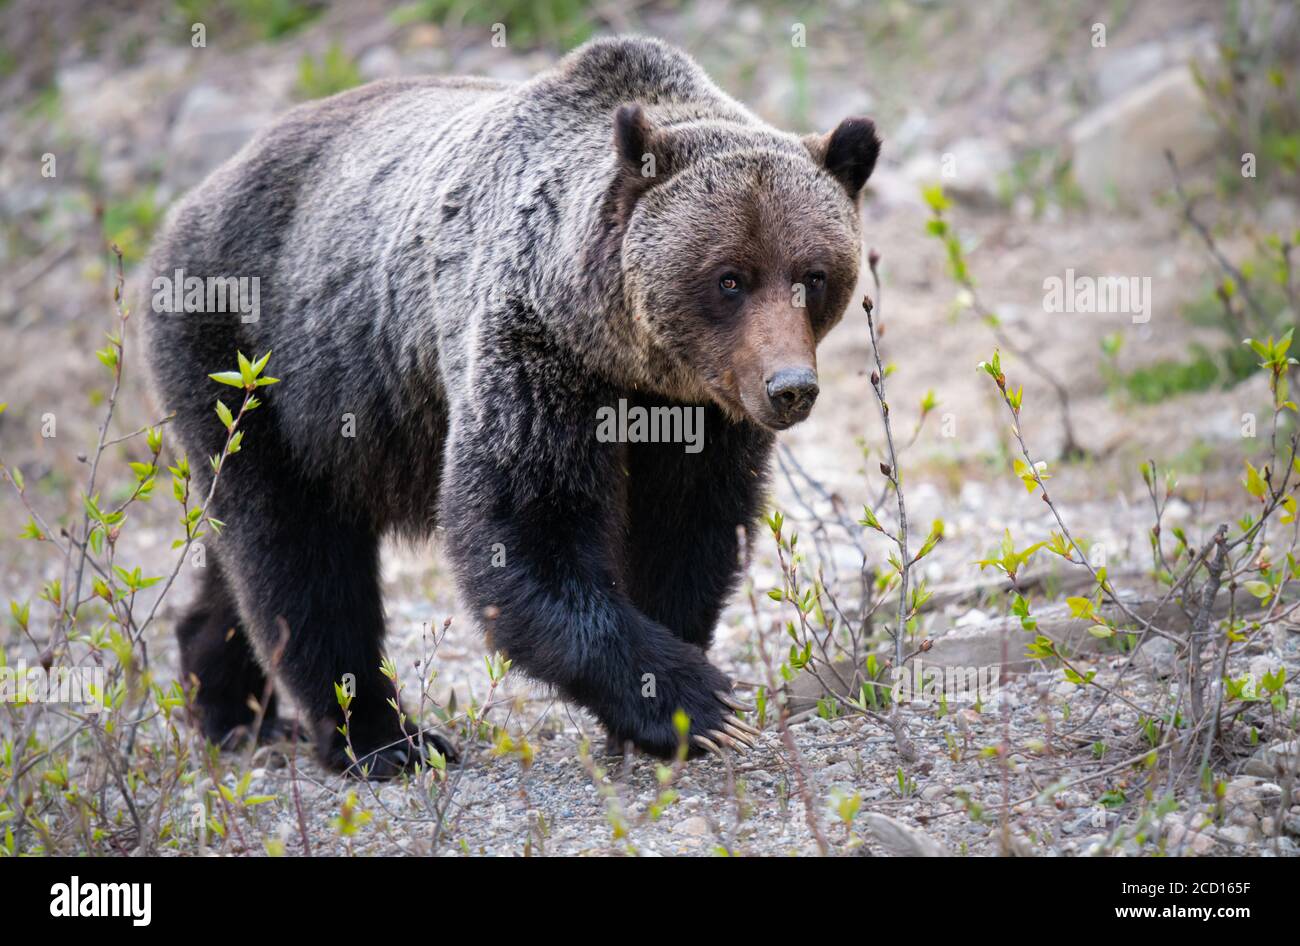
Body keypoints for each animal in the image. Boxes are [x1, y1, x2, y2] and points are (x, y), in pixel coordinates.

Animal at [145, 36, 879, 776]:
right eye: (729, 278)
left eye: (814, 275)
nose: (788, 386)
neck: (624, 357)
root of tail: (192, 200)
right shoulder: (532, 353)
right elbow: (523, 530)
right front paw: (697, 704)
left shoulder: (703, 414)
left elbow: (687, 532)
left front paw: (663, 710)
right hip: (253, 363)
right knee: (295, 550)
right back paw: (386, 739)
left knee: (246, 560)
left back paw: (231, 708)